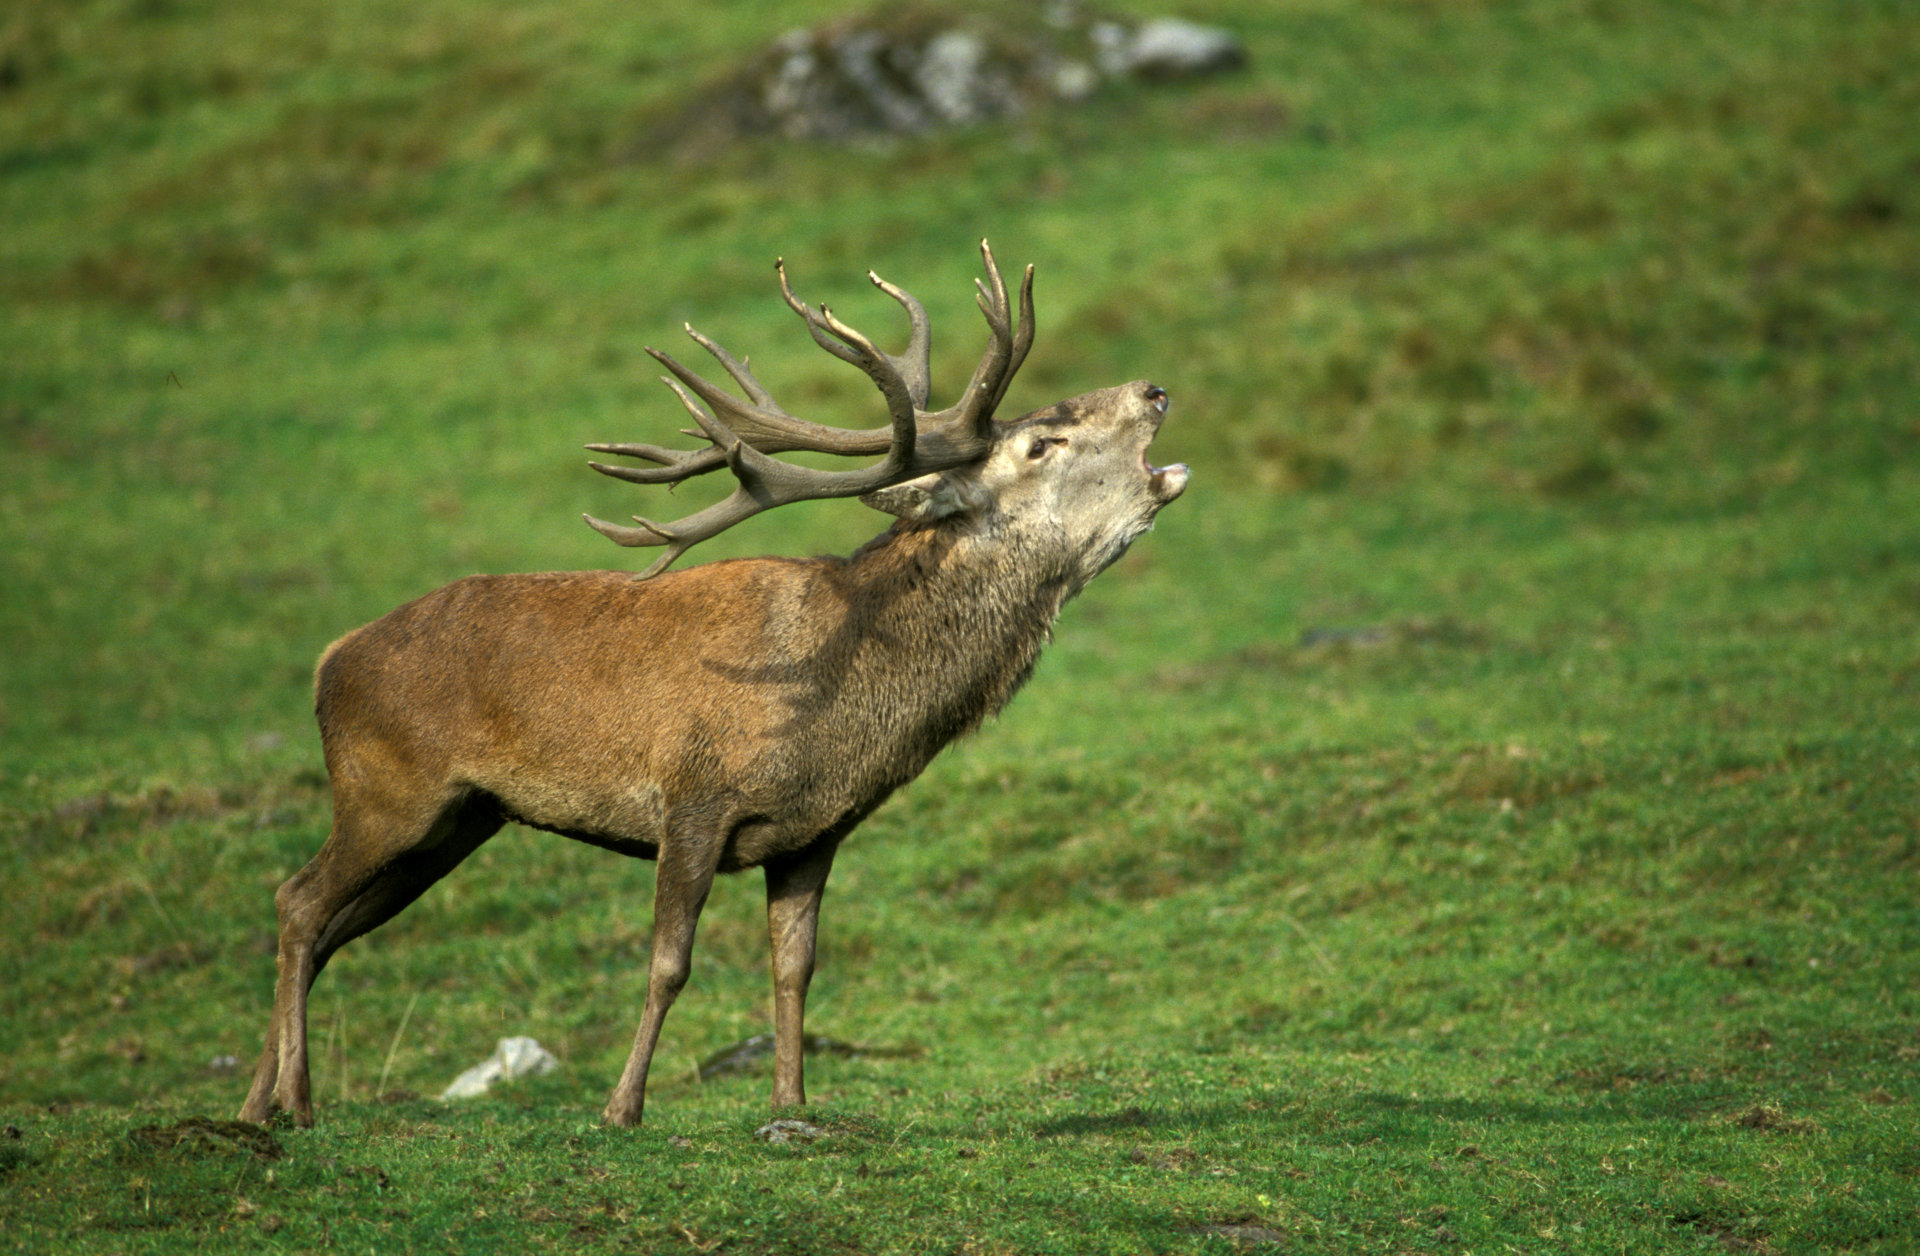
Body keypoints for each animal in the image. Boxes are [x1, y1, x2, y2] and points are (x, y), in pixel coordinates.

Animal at [238, 242, 1188, 1129]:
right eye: (1040, 443)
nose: (1153, 390)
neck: (847, 705)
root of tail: (329, 662)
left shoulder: (815, 832)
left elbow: (795, 968)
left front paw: (792, 1103)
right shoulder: (693, 797)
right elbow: (670, 963)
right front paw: (622, 1108)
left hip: (456, 822)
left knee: (325, 929)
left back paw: (258, 1104)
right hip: (387, 791)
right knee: (297, 903)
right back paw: (298, 1101)